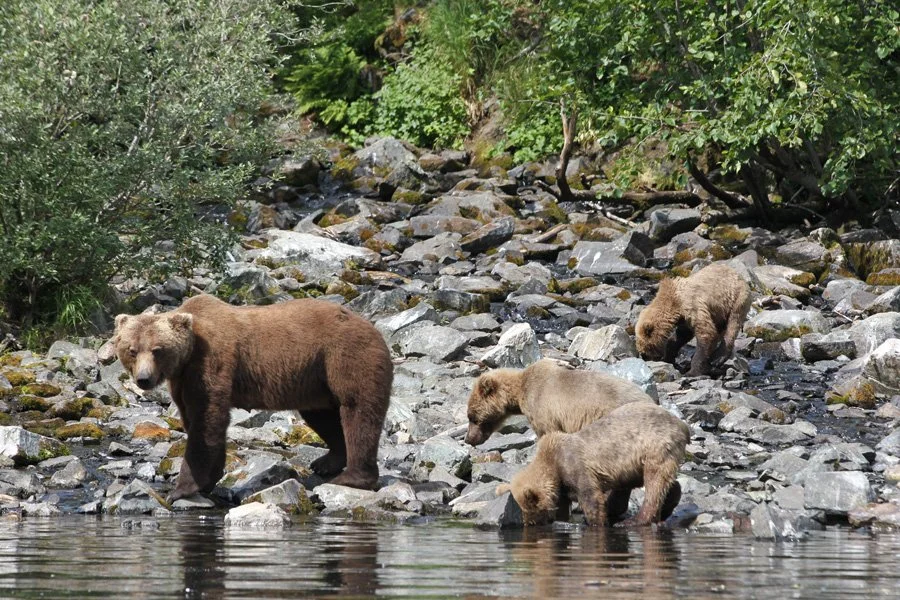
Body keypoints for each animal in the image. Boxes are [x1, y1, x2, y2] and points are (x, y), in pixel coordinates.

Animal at [112, 293, 393, 502]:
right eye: (132, 349)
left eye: (157, 350)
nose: (144, 379)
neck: (187, 355)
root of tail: (371, 326)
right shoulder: (183, 380)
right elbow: (194, 418)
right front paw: (209, 480)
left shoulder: (211, 364)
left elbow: (206, 420)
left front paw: (182, 489)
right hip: (315, 379)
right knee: (321, 415)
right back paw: (328, 461)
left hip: (347, 356)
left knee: (357, 411)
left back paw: (352, 477)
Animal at [496, 402, 690, 527]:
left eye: (531, 517)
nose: (531, 525)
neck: (552, 463)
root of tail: (682, 424)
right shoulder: (562, 485)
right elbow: (563, 504)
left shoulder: (575, 466)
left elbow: (591, 498)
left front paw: (595, 522)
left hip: (655, 447)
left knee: (654, 482)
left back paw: (634, 521)